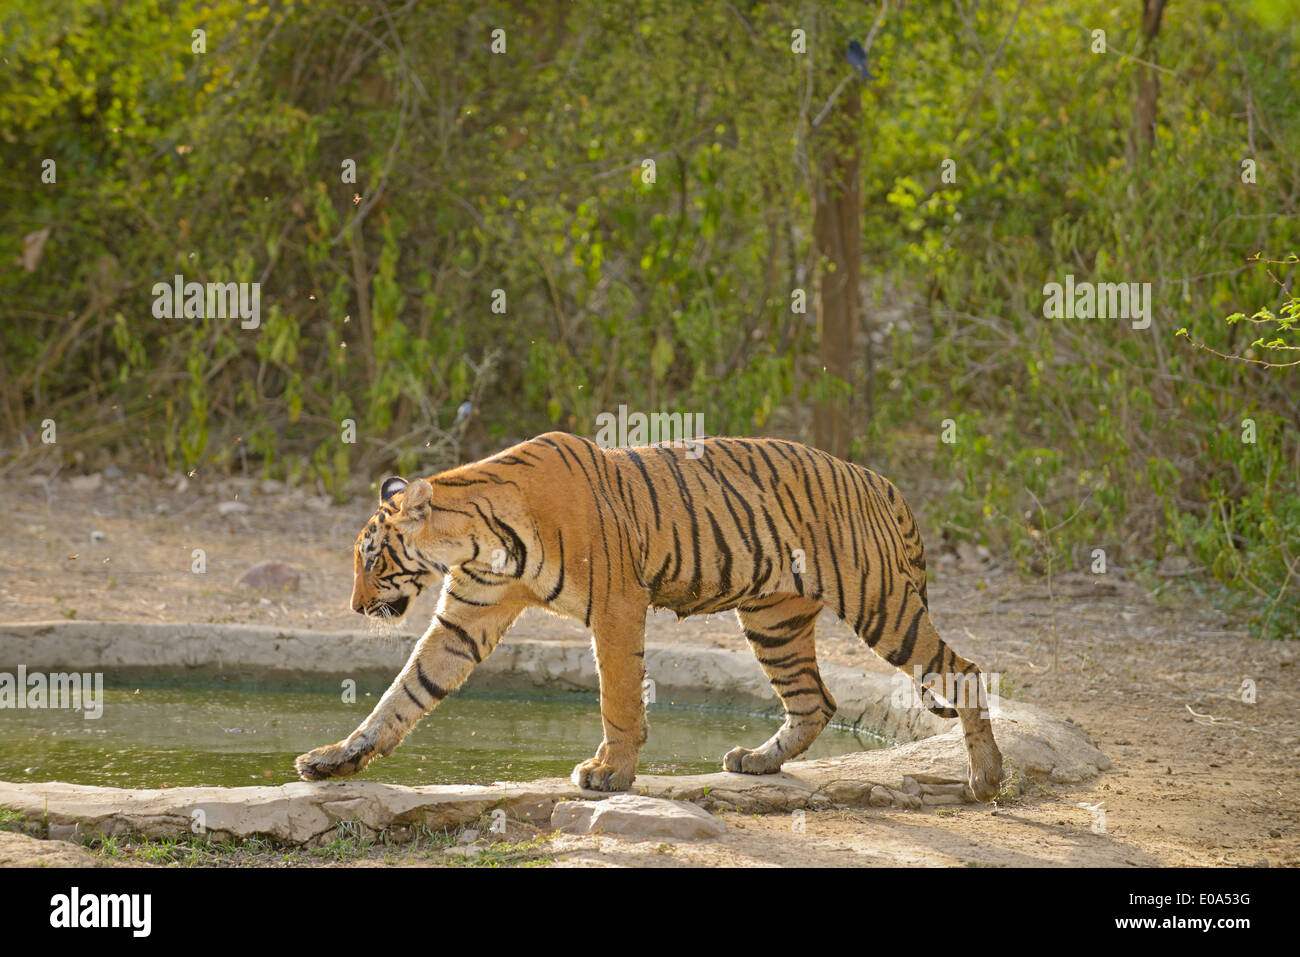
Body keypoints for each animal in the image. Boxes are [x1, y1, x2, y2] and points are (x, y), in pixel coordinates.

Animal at [295, 431, 1003, 802]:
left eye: (373, 559)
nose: (354, 606)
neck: (475, 539)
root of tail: (877, 478)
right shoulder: (467, 618)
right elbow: (403, 696)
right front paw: (336, 760)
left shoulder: (615, 605)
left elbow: (618, 696)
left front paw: (609, 773)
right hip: (773, 621)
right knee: (814, 701)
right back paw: (757, 762)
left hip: (881, 605)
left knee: (964, 670)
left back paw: (987, 778)